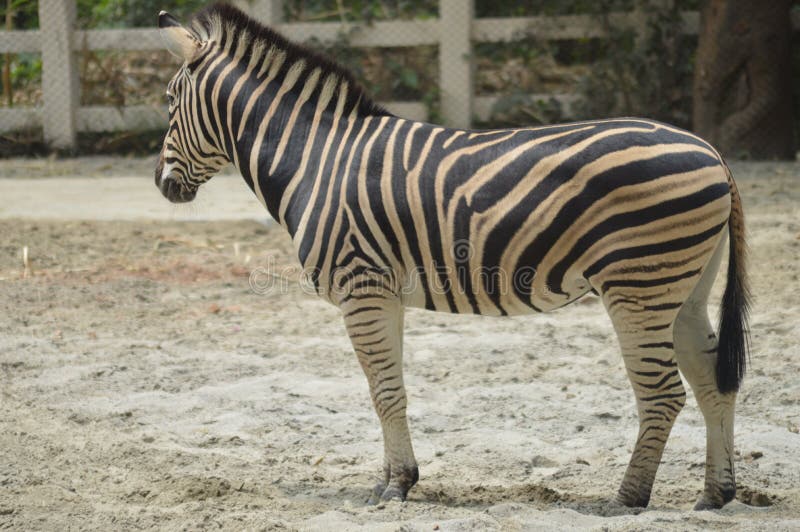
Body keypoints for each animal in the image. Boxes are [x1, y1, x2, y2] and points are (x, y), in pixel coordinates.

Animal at [155, 4, 749, 510]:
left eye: (168, 100)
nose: (163, 187)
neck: (315, 159)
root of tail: (711, 151)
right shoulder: (383, 294)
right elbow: (388, 389)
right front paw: (395, 480)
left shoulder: (360, 287)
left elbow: (384, 393)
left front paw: (396, 487)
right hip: (684, 290)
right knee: (711, 381)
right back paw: (714, 494)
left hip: (638, 285)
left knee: (662, 393)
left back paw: (626, 498)